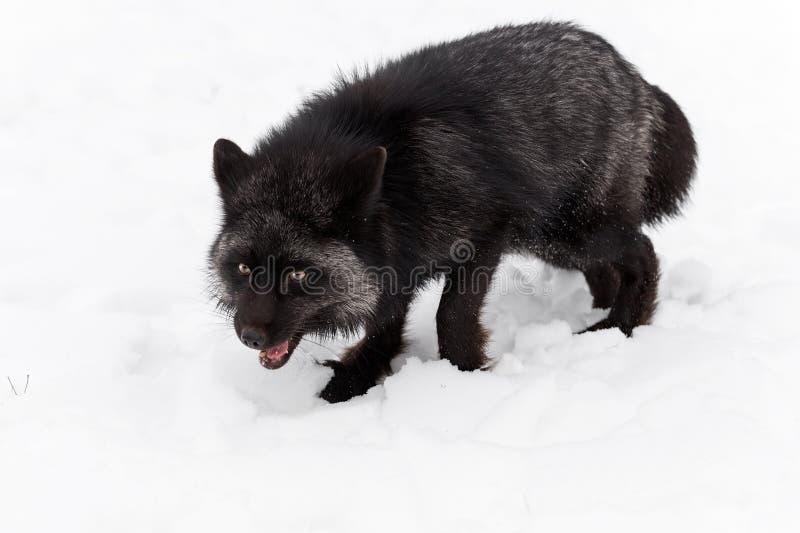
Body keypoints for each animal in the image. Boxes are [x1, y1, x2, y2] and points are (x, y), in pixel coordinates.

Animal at [208, 22, 696, 403]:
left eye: (300, 273)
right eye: (243, 267)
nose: (249, 336)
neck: (399, 183)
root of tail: (630, 71)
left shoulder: (483, 237)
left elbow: (452, 316)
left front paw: (462, 379)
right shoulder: (395, 258)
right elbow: (384, 325)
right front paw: (351, 385)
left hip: (569, 231)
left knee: (643, 252)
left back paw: (621, 327)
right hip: (549, 240)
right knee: (605, 272)